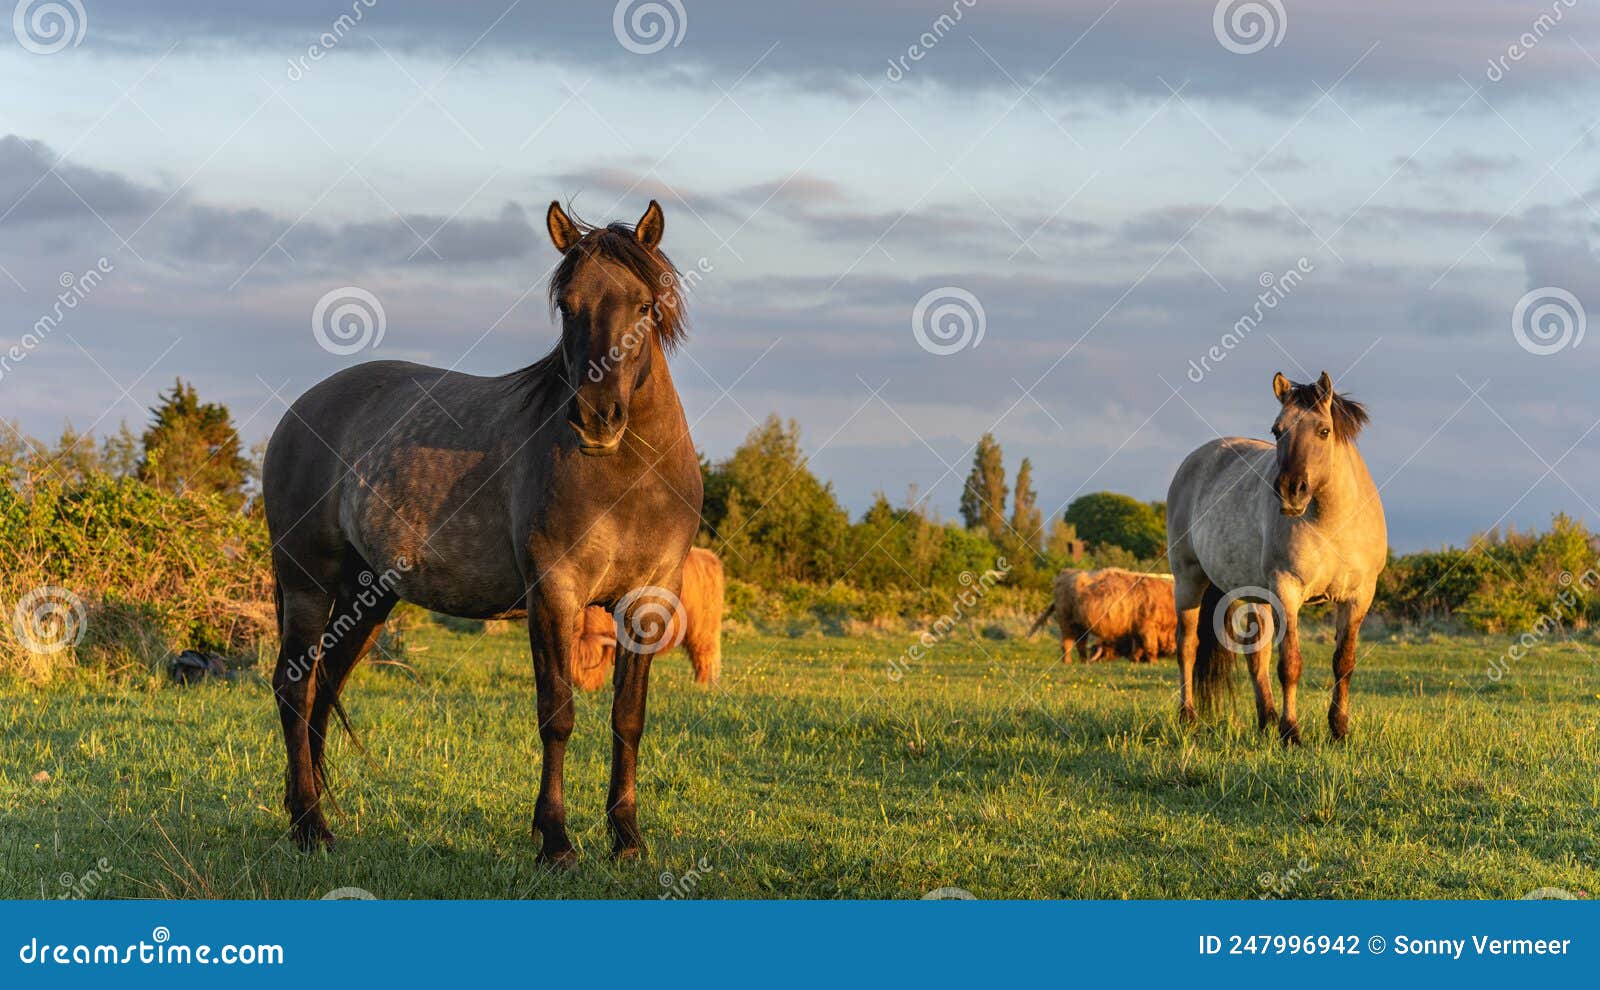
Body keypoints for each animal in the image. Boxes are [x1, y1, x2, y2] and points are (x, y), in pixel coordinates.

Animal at [261, 200, 703, 864]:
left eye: (645, 305)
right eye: (567, 305)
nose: (596, 418)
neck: (630, 478)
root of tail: (300, 411)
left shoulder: (648, 602)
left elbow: (629, 718)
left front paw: (627, 840)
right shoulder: (554, 594)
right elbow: (557, 714)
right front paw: (555, 841)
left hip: (368, 597)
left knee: (323, 686)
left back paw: (312, 818)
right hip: (308, 586)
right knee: (294, 688)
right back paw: (311, 826)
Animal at [1165, 371, 1386, 744]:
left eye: (1323, 430)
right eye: (1277, 430)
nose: (1290, 490)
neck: (1332, 522)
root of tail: (1196, 459)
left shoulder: (1357, 598)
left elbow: (1343, 663)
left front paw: (1339, 730)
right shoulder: (1287, 590)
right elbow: (1290, 664)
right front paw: (1291, 732)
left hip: (1254, 595)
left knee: (1256, 655)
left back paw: (1266, 719)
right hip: (1188, 579)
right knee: (1187, 646)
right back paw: (1188, 717)